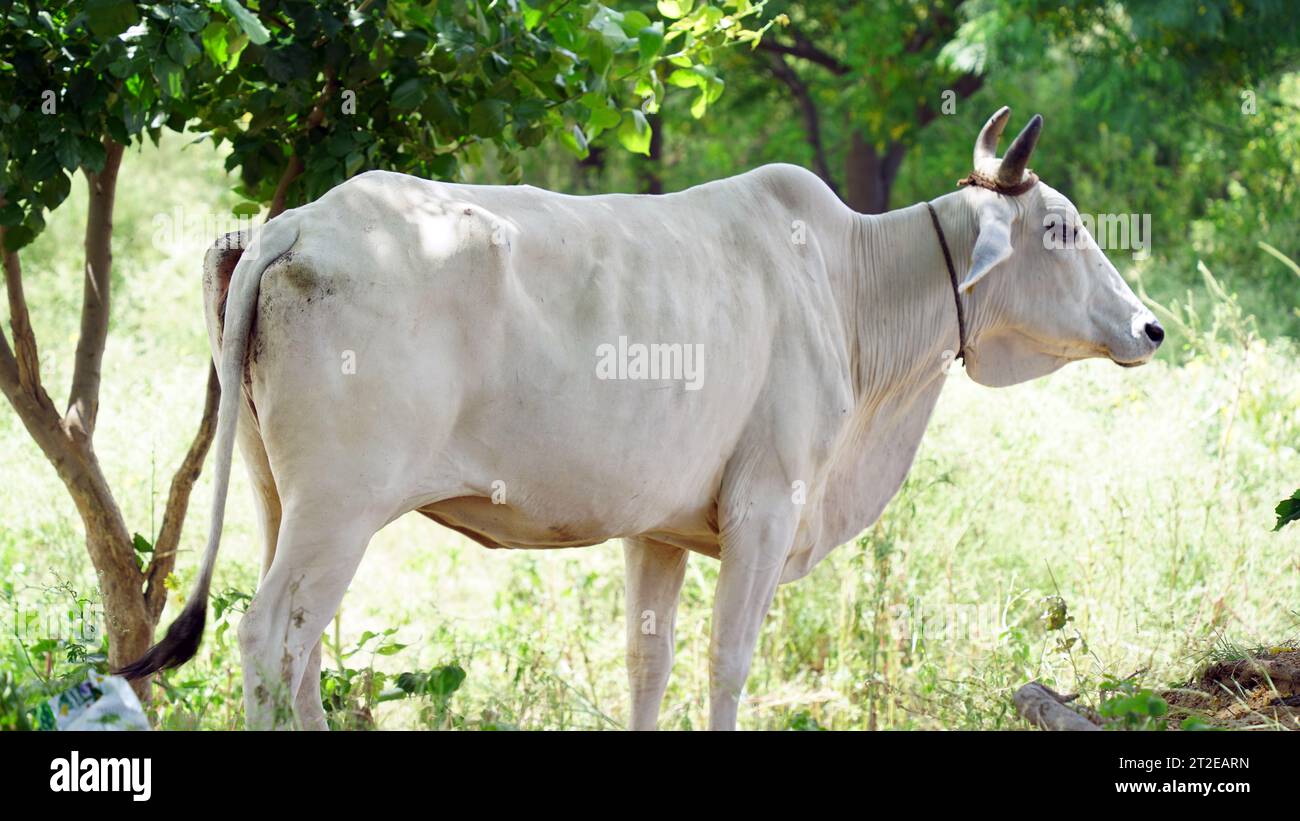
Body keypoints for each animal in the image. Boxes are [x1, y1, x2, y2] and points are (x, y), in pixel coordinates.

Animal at [120, 108, 1163, 730]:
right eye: (1064, 227)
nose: (1151, 326)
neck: (851, 286)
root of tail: (290, 225)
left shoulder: (657, 532)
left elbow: (645, 664)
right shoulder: (765, 510)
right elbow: (728, 660)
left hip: (280, 499)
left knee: (298, 652)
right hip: (338, 509)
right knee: (272, 641)